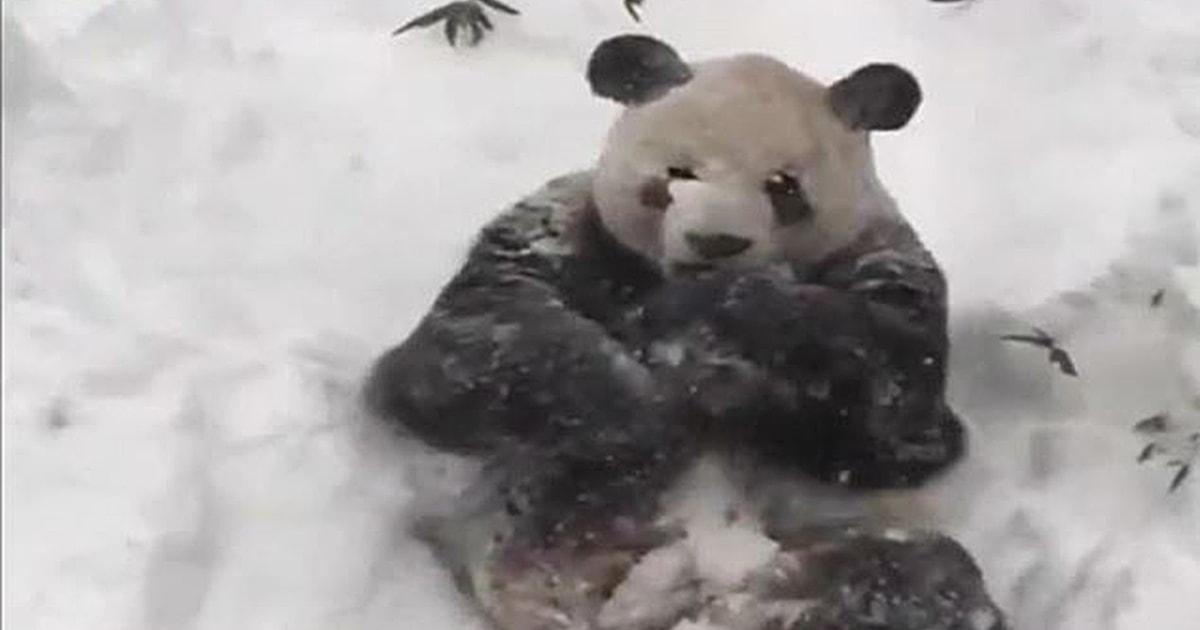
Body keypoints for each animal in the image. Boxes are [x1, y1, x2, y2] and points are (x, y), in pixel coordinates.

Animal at [364, 34, 991, 630]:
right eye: (677, 174)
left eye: (784, 186)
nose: (716, 242)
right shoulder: (558, 229)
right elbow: (461, 350)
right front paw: (637, 416)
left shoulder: (885, 261)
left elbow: (898, 413)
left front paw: (699, 315)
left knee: (921, 574)